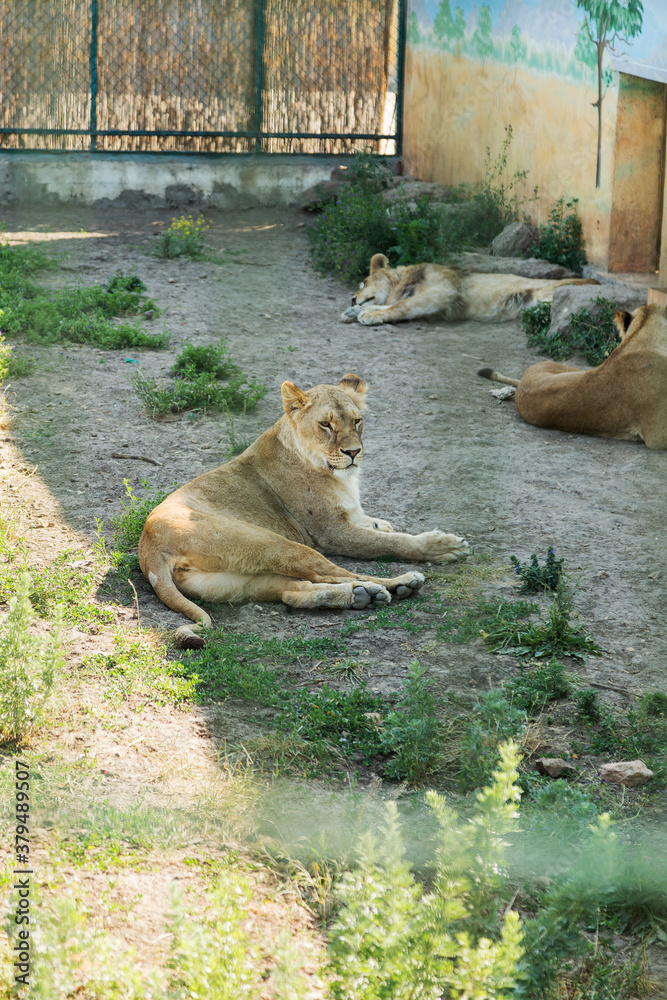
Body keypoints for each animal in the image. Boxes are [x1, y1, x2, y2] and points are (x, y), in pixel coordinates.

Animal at [138, 373, 469, 647]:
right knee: (331, 573)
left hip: (240, 581)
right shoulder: (331, 532)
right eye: (326, 424)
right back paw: (397, 584)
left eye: (357, 421)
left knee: (292, 592)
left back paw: (363, 595)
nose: (354, 452)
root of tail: (150, 550)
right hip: (276, 543)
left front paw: (381, 524)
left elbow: (376, 526)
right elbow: (391, 543)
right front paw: (441, 545)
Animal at [341, 253, 598, 326]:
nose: (352, 298)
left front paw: (369, 315)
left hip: (545, 295)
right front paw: (353, 312)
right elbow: (393, 304)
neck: (404, 281)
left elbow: (401, 306)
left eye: (364, 282)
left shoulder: (442, 293)